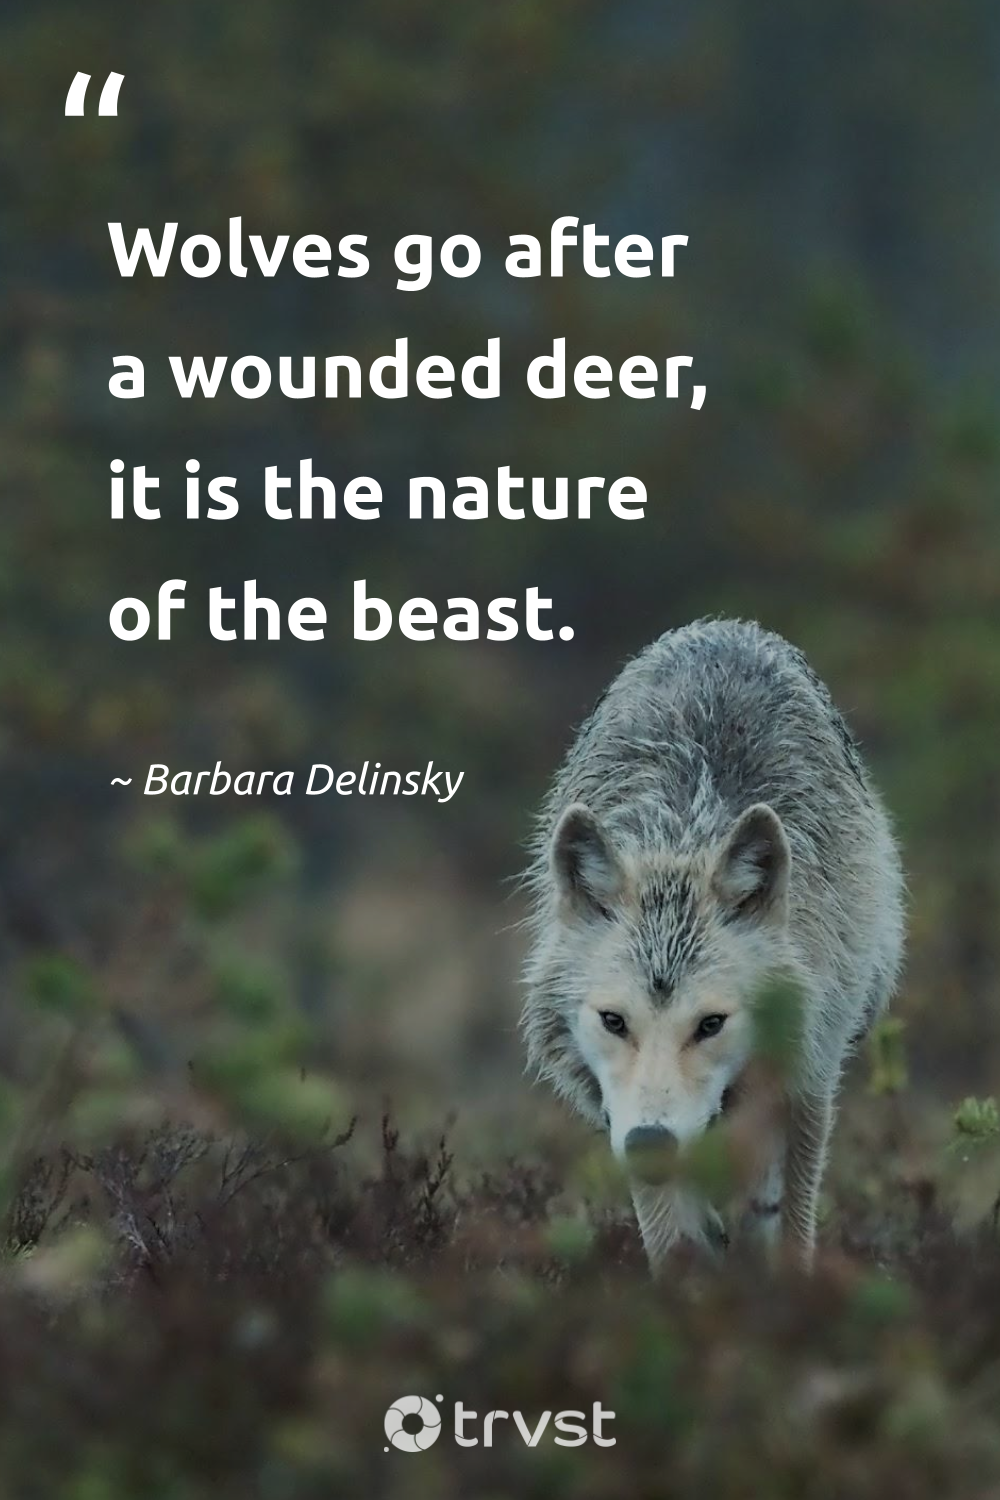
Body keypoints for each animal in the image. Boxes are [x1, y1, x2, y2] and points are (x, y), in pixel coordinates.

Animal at [521, 619, 904, 1269]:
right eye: (614, 1021)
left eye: (711, 1024)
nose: (651, 1144)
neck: (684, 831)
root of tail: (728, 627)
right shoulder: (621, 1117)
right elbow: (674, 1244)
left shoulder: (810, 1081)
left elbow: (789, 1229)